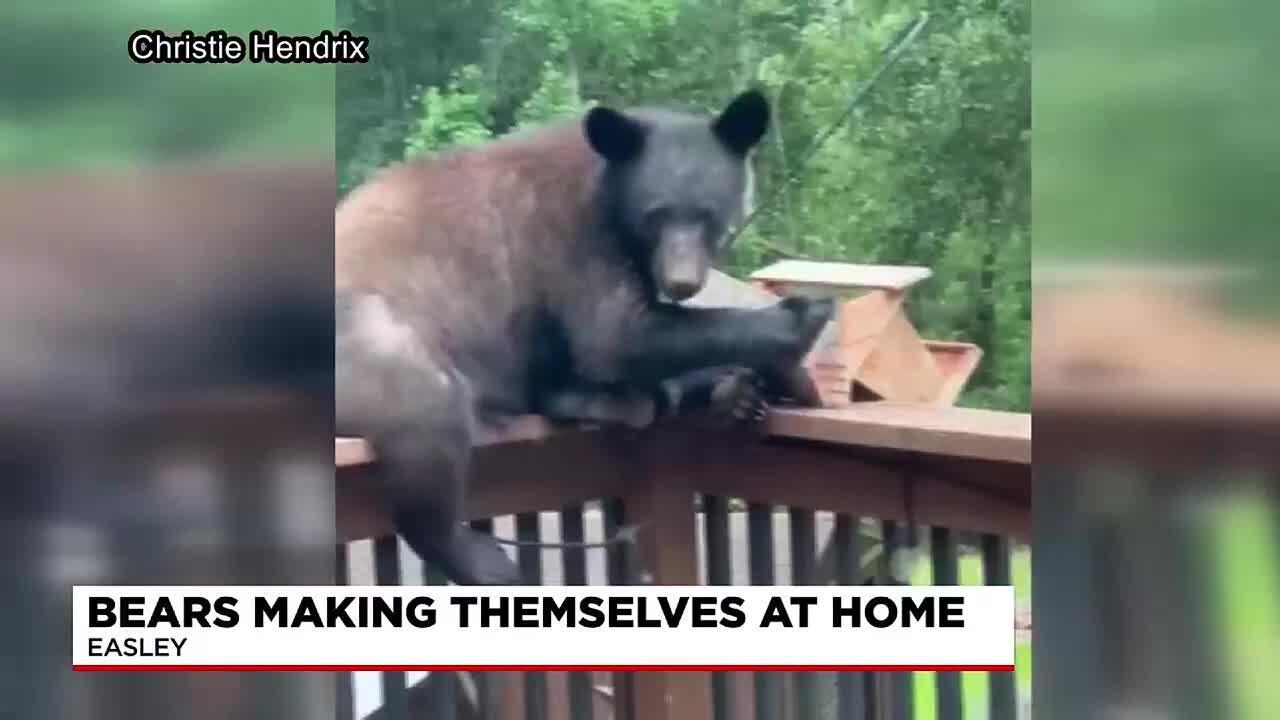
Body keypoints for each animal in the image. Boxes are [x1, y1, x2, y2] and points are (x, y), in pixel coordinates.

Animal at [335, 89, 833, 585]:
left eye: (707, 215)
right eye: (657, 215)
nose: (681, 282)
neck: (609, 194)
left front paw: (736, 390)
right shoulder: (573, 238)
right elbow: (616, 333)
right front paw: (802, 323)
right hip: (375, 340)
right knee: (427, 415)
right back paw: (486, 560)